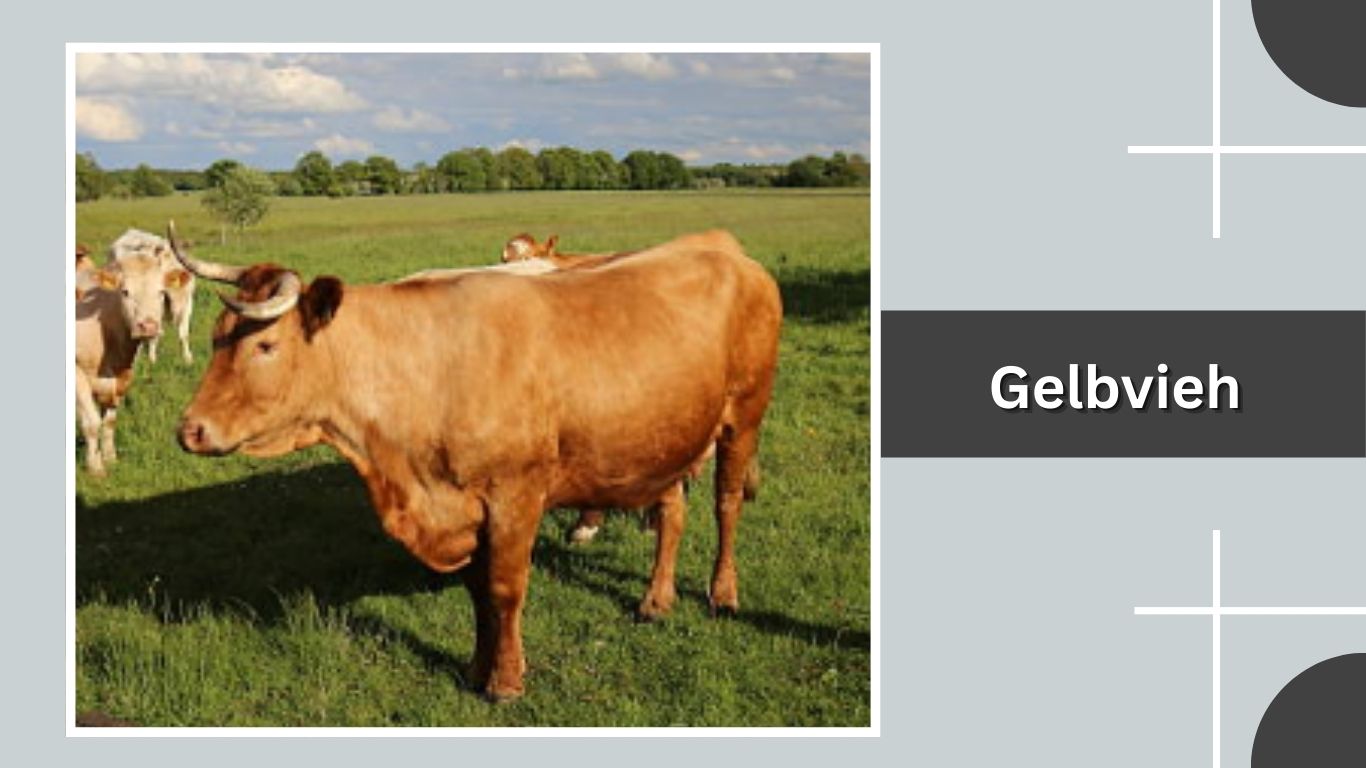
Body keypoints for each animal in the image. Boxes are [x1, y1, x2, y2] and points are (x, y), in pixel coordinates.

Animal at [76, 250, 192, 475]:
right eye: (125, 292)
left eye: (161, 292)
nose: (148, 326)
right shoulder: (78, 375)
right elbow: (92, 423)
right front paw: (96, 468)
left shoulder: (122, 377)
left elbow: (109, 422)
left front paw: (110, 459)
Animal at [109, 229, 197, 364]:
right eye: (125, 291)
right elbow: (151, 337)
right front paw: (150, 359)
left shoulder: (187, 304)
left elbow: (184, 334)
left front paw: (187, 358)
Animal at [169, 222, 782, 700]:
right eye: (216, 335)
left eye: (265, 345)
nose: (190, 430)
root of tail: (723, 248)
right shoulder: (463, 508)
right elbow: (477, 593)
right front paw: (475, 669)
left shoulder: (515, 495)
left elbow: (505, 589)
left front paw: (506, 682)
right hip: (662, 437)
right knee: (672, 511)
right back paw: (656, 599)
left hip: (743, 416)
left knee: (726, 504)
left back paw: (723, 594)